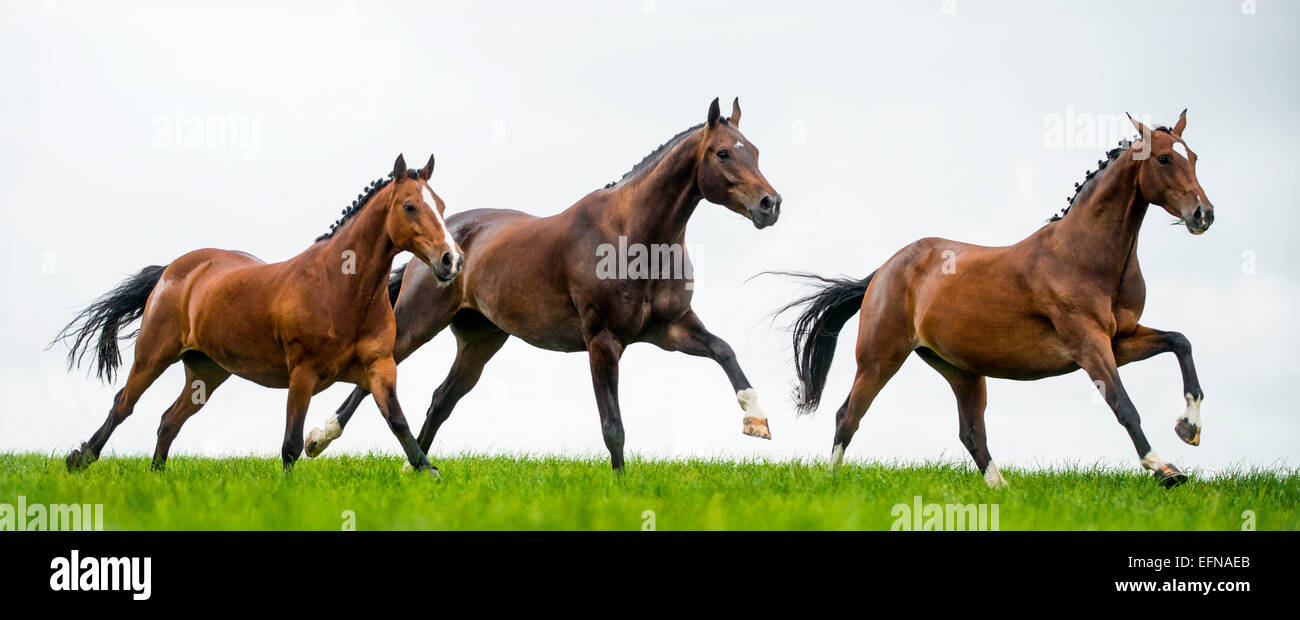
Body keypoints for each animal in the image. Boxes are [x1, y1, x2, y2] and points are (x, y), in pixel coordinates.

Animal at [51, 154, 463, 474]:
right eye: (409, 206)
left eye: (442, 206)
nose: (452, 260)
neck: (341, 289)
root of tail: (173, 269)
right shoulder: (302, 373)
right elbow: (291, 443)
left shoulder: (380, 366)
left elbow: (397, 420)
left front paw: (427, 471)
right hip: (153, 355)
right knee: (123, 404)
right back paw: (80, 459)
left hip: (206, 373)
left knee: (169, 420)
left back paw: (157, 476)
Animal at [303, 98, 783, 471]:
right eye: (723, 153)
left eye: (756, 151)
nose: (770, 204)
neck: (633, 235)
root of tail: (445, 243)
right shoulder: (603, 340)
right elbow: (613, 427)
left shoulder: (671, 328)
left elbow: (724, 350)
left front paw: (756, 420)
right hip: (416, 324)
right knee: (377, 377)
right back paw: (319, 437)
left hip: (480, 342)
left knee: (441, 398)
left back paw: (414, 467)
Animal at [780, 111, 1213, 488]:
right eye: (1163, 158)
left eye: (1192, 157)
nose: (1203, 214)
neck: (1084, 255)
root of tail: (883, 271)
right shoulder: (1090, 345)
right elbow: (1125, 406)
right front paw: (1165, 469)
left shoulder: (1119, 340)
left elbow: (1181, 342)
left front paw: (1189, 428)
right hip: (879, 359)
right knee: (847, 415)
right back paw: (831, 482)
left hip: (962, 371)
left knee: (971, 432)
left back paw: (1001, 488)